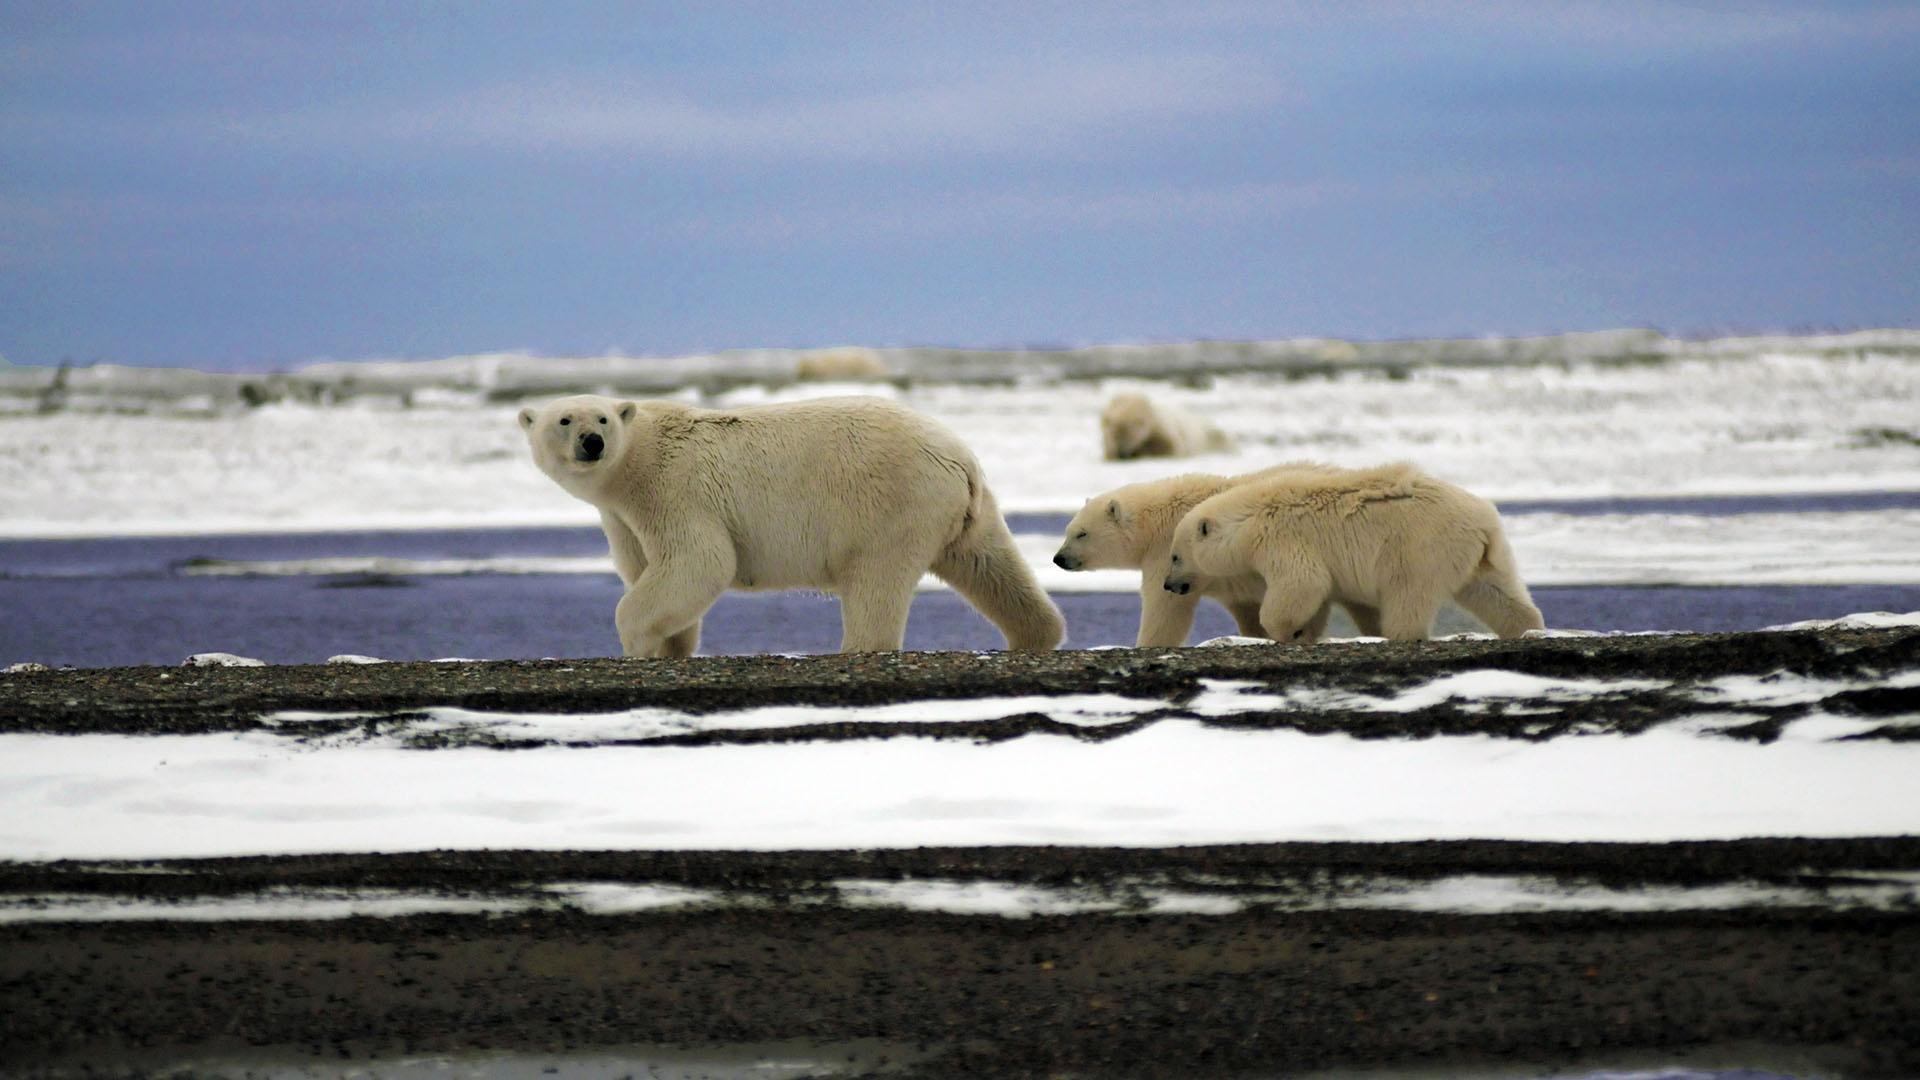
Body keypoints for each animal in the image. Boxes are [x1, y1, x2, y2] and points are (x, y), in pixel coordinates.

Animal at [520, 394, 1063, 658]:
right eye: (564, 420)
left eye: (602, 419)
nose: (591, 442)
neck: (639, 459)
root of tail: (958, 455)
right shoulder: (622, 517)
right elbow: (648, 570)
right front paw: (670, 647)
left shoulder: (675, 489)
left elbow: (701, 560)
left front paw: (634, 641)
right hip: (965, 511)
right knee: (991, 565)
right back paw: (1035, 634)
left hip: (889, 505)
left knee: (875, 581)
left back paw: (857, 647)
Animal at [1052, 463, 1383, 647]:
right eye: (1068, 530)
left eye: (1081, 533)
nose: (1059, 559)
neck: (1158, 519)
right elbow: (1245, 608)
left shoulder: (1171, 554)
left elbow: (1166, 606)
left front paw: (1145, 643)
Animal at [1100, 392, 1234, 461]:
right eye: (1114, 437)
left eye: (1129, 437)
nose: (1122, 454)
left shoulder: (1160, 425)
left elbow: (1170, 446)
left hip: (1210, 435)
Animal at [1163, 462, 1544, 642]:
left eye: (1175, 555)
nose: (1168, 585)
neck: (1249, 517)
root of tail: (1484, 521)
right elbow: (1317, 597)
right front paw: (1304, 632)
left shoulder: (1282, 539)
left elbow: (1302, 583)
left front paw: (1284, 632)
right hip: (1480, 555)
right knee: (1496, 591)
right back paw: (1527, 628)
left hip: (1420, 547)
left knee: (1408, 594)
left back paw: (1400, 633)